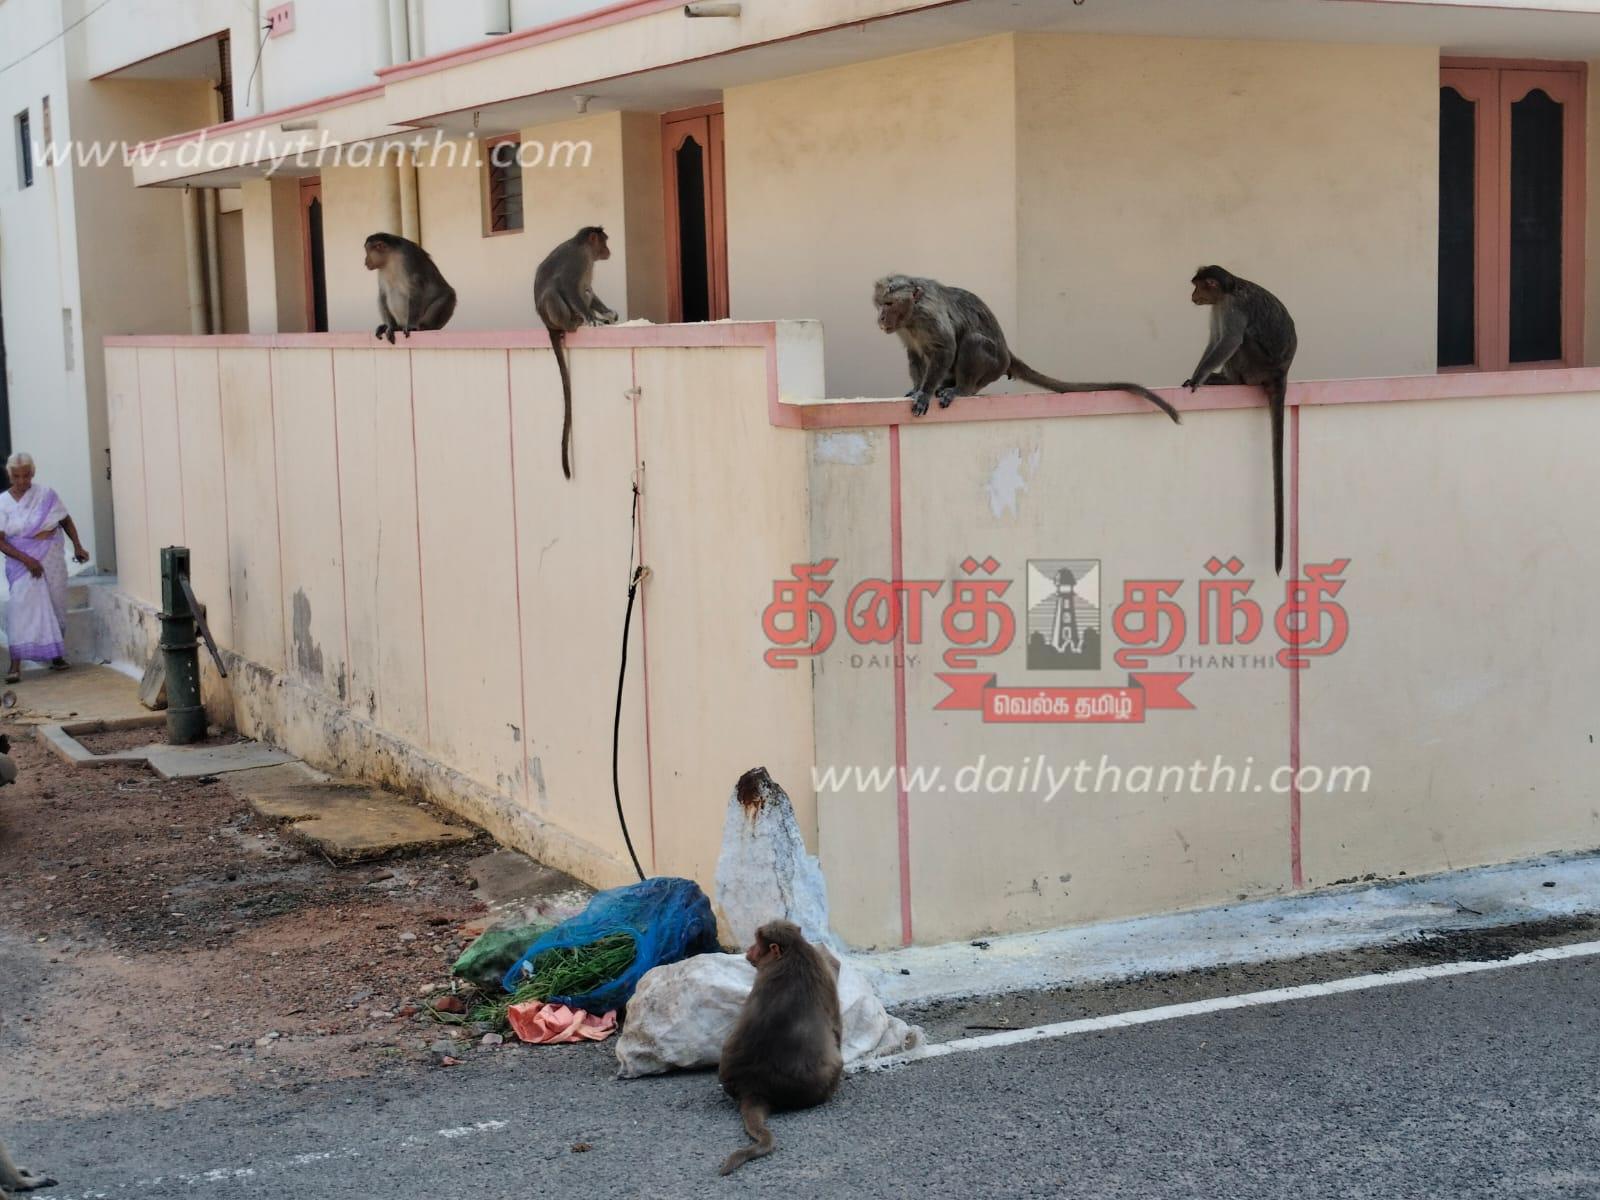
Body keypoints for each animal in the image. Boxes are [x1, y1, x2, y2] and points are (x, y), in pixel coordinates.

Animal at [534, 226, 620, 480]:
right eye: (604, 242)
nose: (609, 250)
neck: (585, 250)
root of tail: (548, 326)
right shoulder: (578, 261)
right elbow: (569, 287)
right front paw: (592, 318)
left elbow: (588, 289)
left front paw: (607, 314)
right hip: (556, 316)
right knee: (554, 293)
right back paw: (577, 322)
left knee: (587, 291)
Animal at [716, 919, 843, 1176]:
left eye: (757, 943)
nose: (749, 950)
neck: (792, 952)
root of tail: (754, 1088)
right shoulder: (821, 965)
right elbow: (836, 1027)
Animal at [873, 274, 1180, 423]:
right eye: (880, 304)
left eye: (888, 304)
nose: (880, 318)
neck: (911, 314)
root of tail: (1008, 354)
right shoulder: (907, 327)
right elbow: (915, 354)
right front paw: (917, 389)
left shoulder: (928, 315)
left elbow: (946, 347)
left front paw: (924, 394)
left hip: (993, 365)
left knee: (973, 341)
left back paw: (962, 389)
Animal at [1182, 266, 1298, 575]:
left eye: (1198, 287)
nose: (1192, 297)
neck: (1228, 289)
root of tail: (1281, 373)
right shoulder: (1218, 307)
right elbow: (1214, 340)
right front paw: (1196, 375)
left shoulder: (1232, 307)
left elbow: (1229, 342)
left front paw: (1199, 379)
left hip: (1257, 365)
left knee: (1242, 342)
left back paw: (1230, 380)